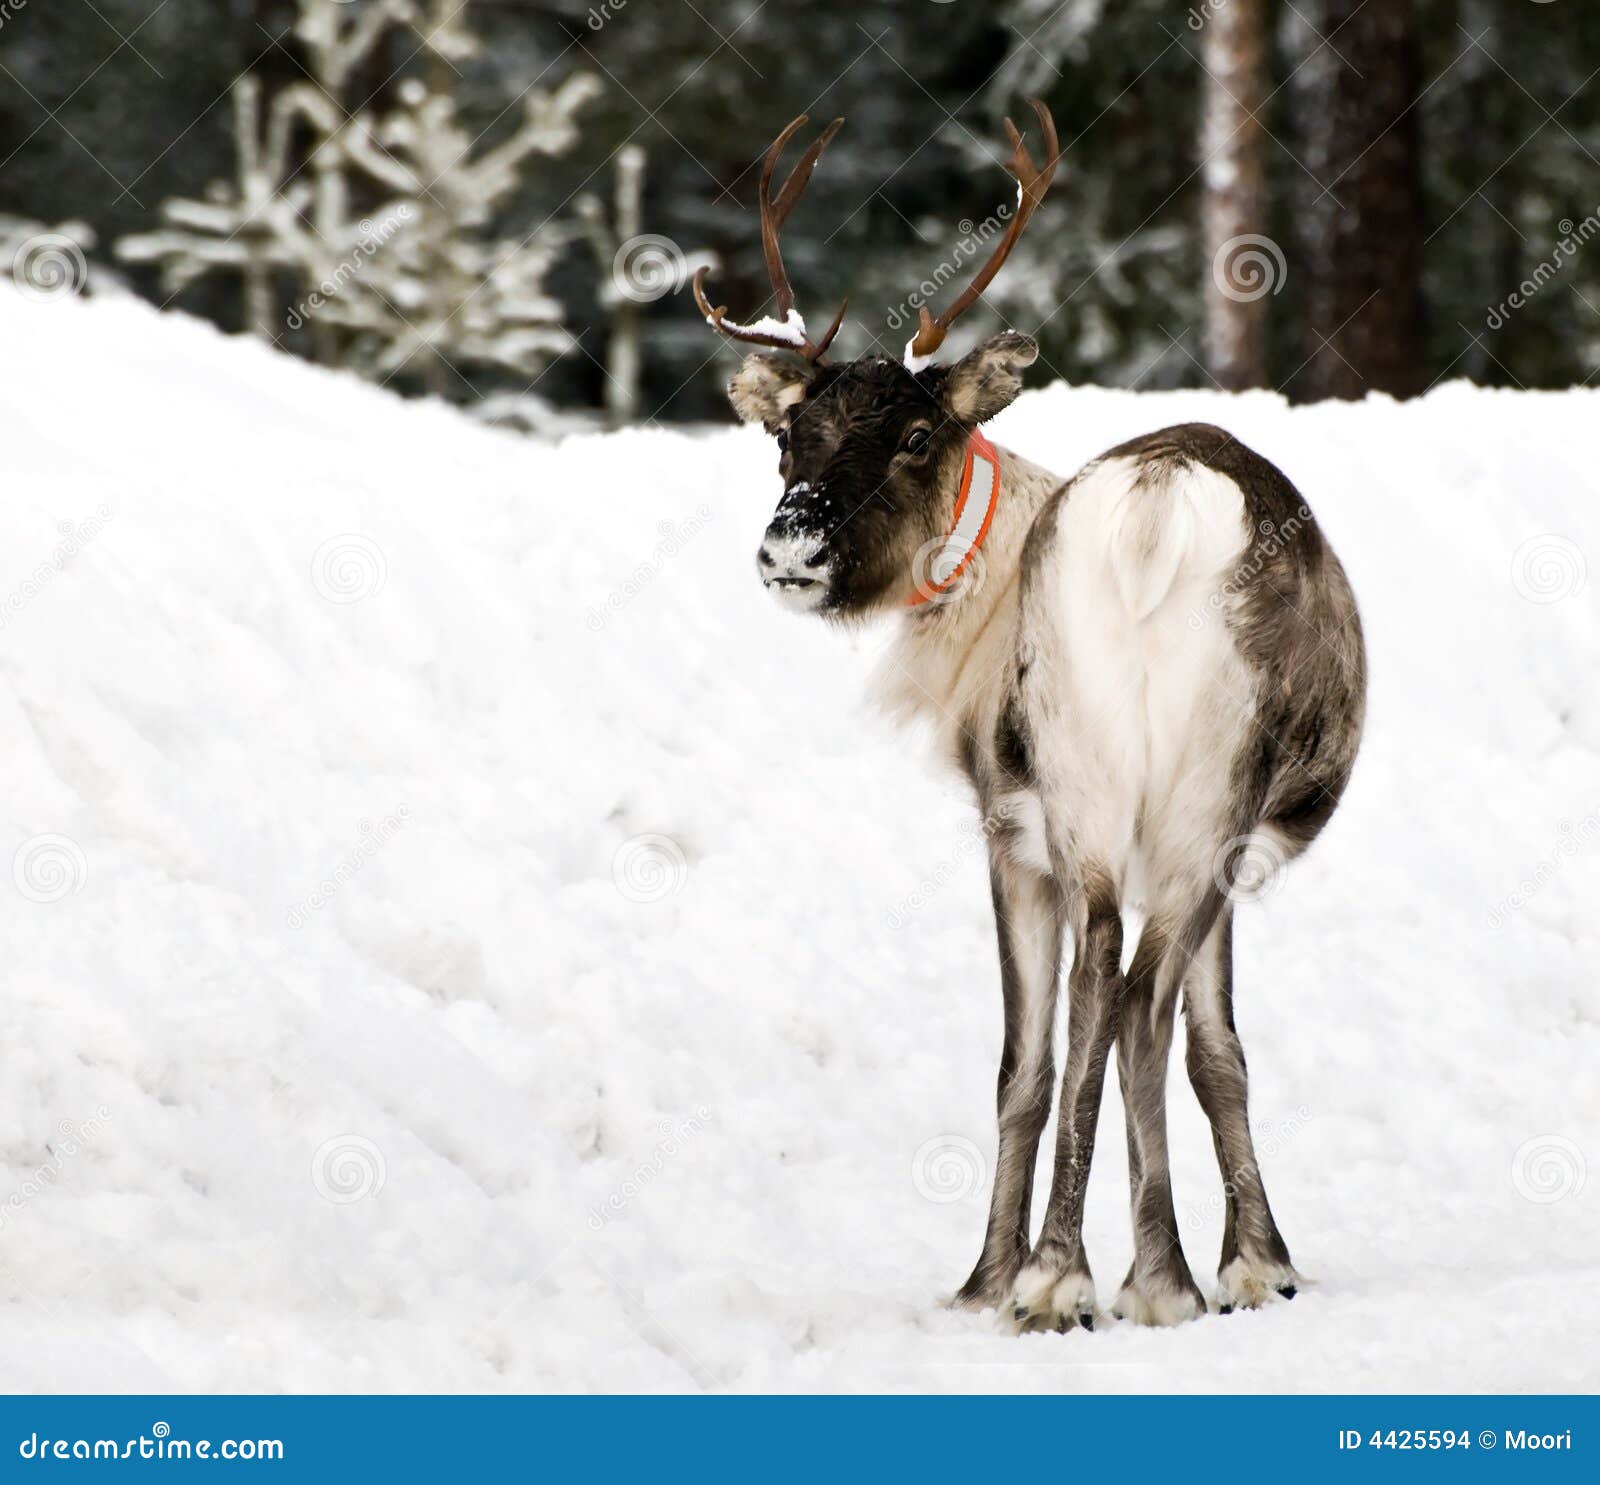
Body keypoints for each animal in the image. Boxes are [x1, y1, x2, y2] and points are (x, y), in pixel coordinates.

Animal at [693, 104, 1366, 1331]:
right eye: (787, 436)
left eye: (915, 436)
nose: (788, 544)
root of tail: (1151, 519)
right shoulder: (1048, 833)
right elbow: (1195, 1050)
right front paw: (1243, 1262)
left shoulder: (1017, 826)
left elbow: (1045, 1061)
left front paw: (989, 1279)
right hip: (1189, 793)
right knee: (1128, 996)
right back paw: (1123, 1274)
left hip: (1124, 790)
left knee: (1102, 998)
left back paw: (1084, 1272)